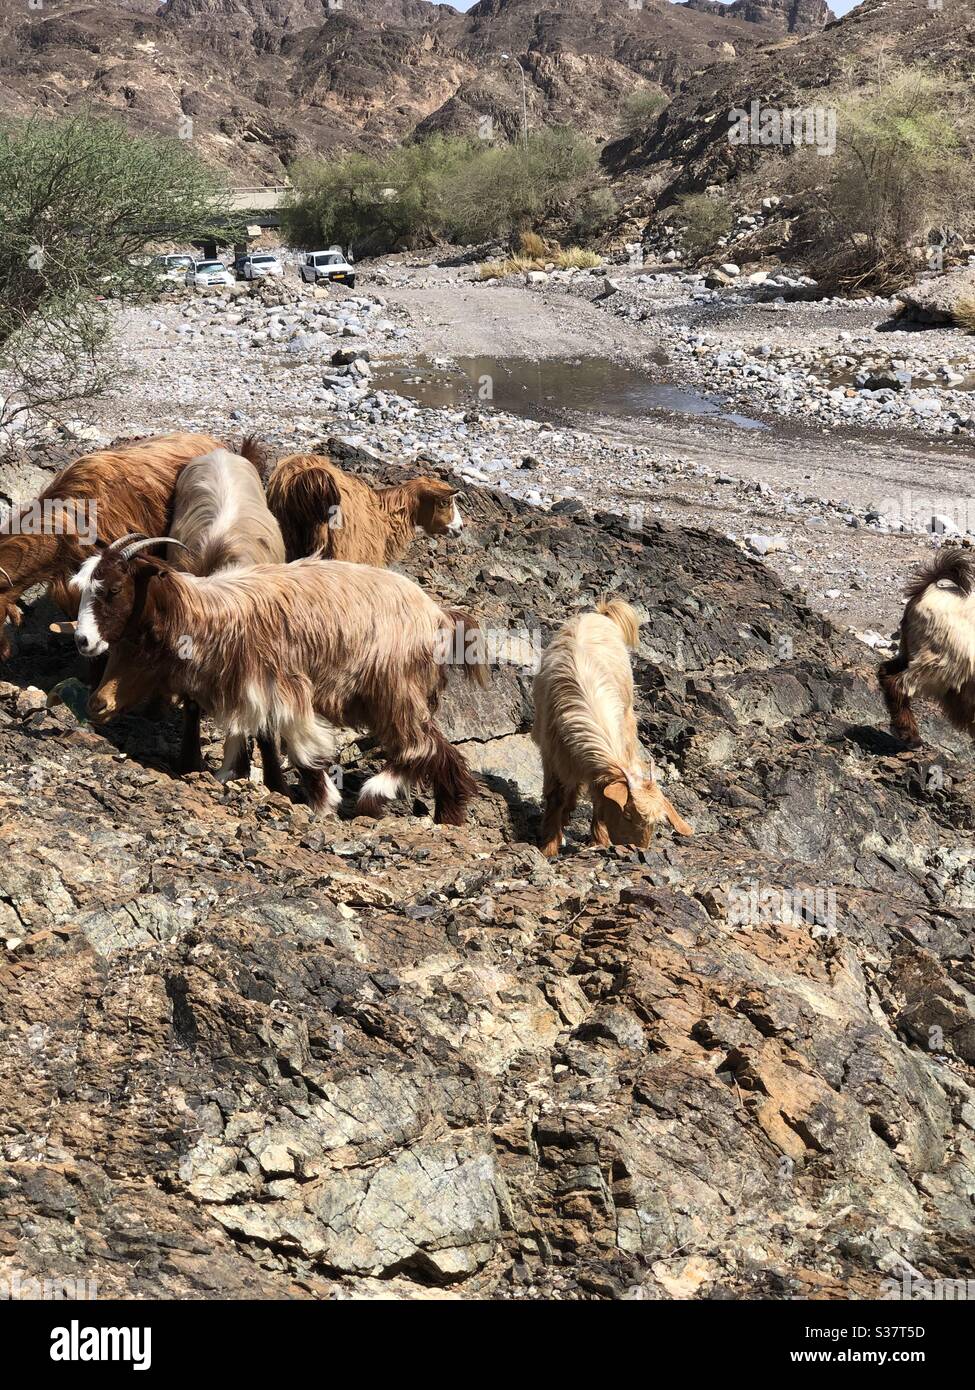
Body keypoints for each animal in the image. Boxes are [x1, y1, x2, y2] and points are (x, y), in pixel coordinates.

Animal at [72, 543, 487, 824]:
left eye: (113, 590)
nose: (82, 641)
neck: (210, 616)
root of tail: (439, 615)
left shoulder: (284, 685)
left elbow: (299, 747)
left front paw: (322, 802)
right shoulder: (250, 691)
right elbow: (258, 737)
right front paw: (261, 783)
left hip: (395, 689)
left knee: (419, 745)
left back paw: (376, 795)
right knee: (433, 748)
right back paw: (448, 812)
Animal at [87, 449, 288, 787]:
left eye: (115, 589)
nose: (98, 704)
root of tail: (223, 453)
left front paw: (271, 780)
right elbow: (193, 702)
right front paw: (191, 761)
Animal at [532, 598, 693, 857]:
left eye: (654, 823)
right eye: (627, 814)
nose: (638, 849)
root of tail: (599, 614)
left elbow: (599, 798)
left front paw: (599, 839)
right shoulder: (551, 753)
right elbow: (555, 796)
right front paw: (548, 846)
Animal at [879, 547, 975, 747]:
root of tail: (928, 591)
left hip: (911, 649)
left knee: (887, 671)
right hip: (944, 657)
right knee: (899, 683)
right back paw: (910, 734)